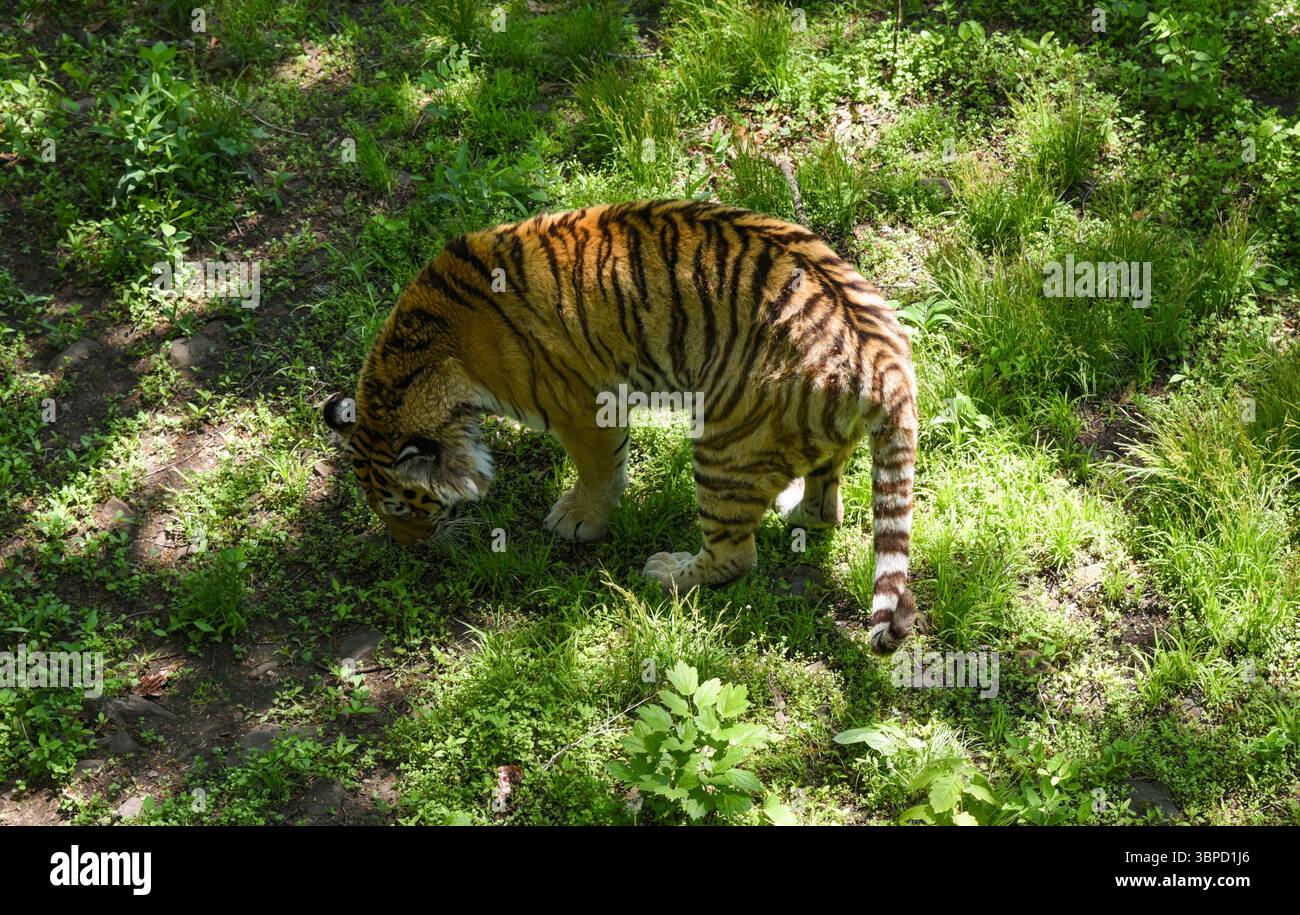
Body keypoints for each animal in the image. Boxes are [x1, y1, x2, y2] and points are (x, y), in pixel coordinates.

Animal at [323, 199, 919, 652]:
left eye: (405, 506)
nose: (410, 548)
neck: (418, 360)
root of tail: (885, 360)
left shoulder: (582, 403)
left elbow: (598, 470)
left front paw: (578, 520)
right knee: (825, 506)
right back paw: (793, 505)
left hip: (725, 448)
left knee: (735, 556)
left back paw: (666, 574)